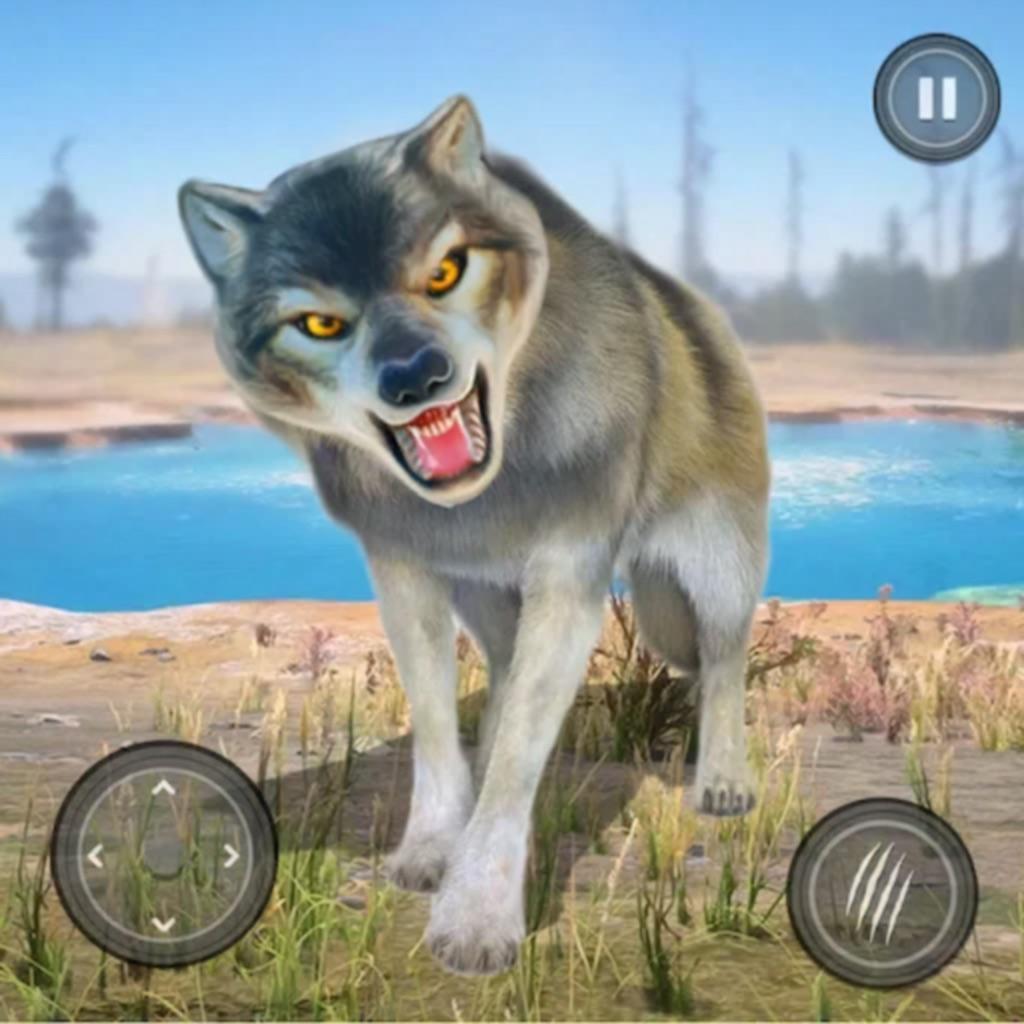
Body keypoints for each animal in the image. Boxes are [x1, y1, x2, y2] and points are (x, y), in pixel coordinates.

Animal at [178, 95, 770, 976]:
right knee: (499, 675)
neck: (486, 496)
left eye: (444, 273)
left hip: (716, 575)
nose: (415, 378)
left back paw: (723, 783)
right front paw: (431, 851)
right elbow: (437, 731)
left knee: (724, 665)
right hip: (489, 602)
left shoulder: (570, 577)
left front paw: (477, 921)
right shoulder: (404, 576)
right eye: (319, 323)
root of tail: (700, 309)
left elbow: (523, 750)